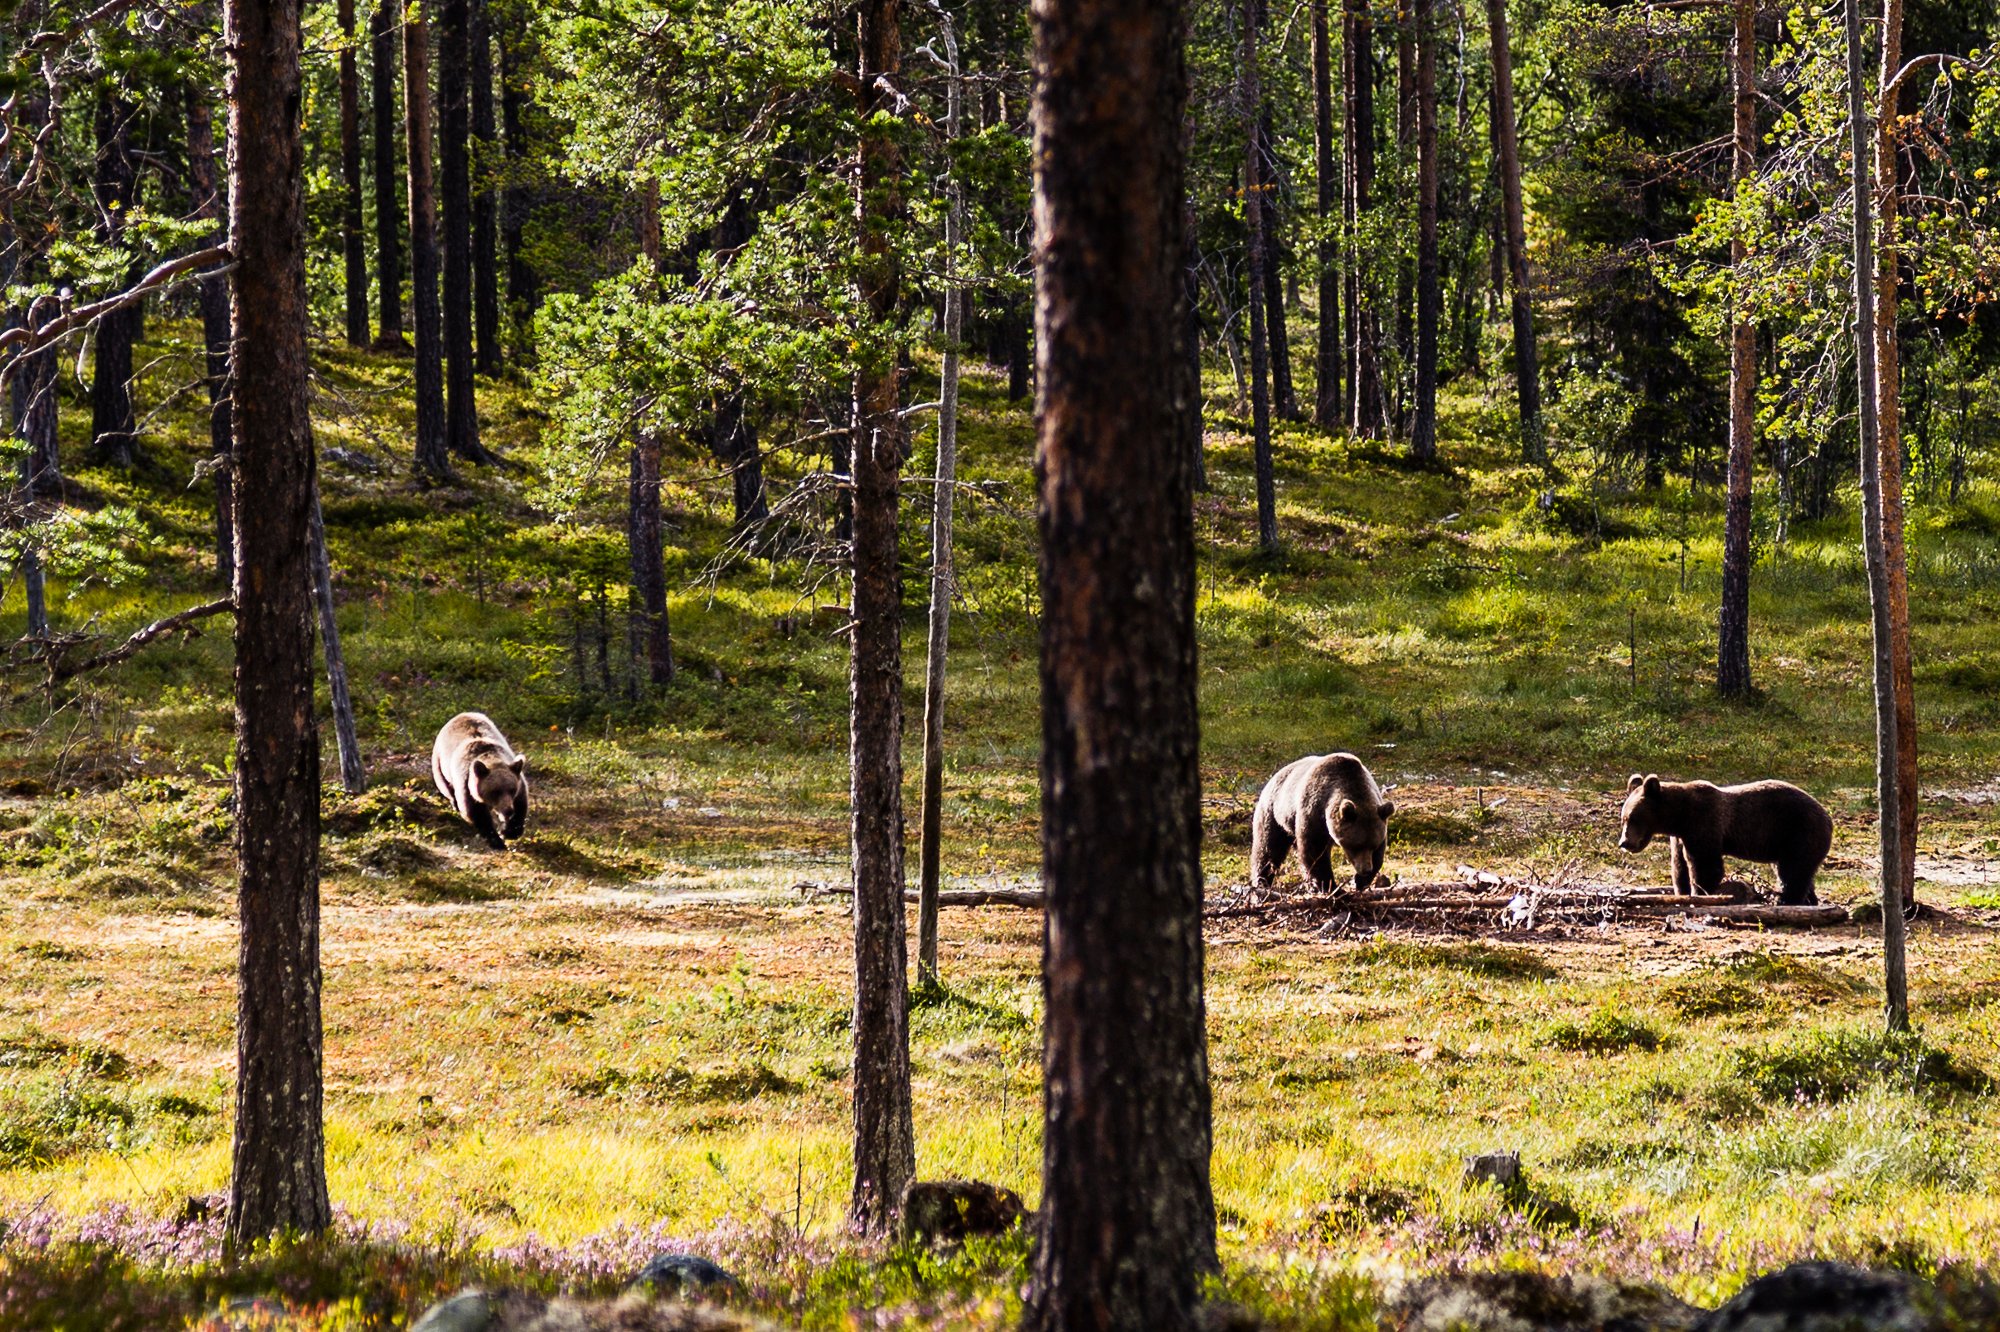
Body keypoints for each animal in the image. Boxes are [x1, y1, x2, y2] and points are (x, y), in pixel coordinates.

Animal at [432, 712, 528, 851]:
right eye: (495, 791)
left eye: (512, 789)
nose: (508, 810)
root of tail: (461, 715)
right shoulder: (466, 785)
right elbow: (476, 814)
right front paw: (497, 841)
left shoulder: (518, 783)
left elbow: (521, 804)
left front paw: (510, 831)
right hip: (440, 763)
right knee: (446, 787)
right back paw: (454, 803)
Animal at [1251, 753, 1395, 892]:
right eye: (1355, 846)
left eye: (1373, 845)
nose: (1366, 869)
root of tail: (1275, 776)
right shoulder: (1314, 811)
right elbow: (1314, 851)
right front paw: (1333, 888)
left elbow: (1379, 855)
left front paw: (1360, 881)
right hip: (1274, 813)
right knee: (1268, 848)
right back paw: (1261, 882)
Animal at [1617, 773, 1832, 905]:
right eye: (1623, 819)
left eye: (1633, 818)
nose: (1624, 843)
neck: (1679, 816)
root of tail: (1828, 818)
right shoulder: (1680, 837)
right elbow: (1679, 867)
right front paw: (1683, 892)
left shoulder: (1703, 823)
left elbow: (1706, 866)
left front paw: (1700, 894)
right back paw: (1809, 900)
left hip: (1799, 831)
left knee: (1792, 871)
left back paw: (1787, 900)